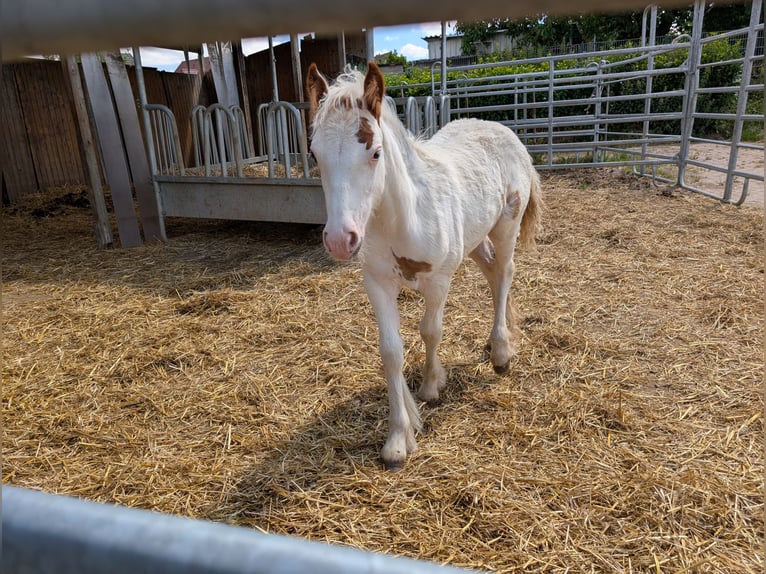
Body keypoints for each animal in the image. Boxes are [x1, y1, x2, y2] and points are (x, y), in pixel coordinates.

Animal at [306, 62, 542, 470]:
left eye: (375, 153)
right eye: (315, 155)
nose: (339, 239)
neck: (403, 219)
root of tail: (501, 129)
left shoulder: (439, 280)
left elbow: (431, 331)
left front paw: (432, 386)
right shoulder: (377, 282)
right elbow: (390, 351)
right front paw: (398, 439)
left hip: (506, 226)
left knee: (505, 273)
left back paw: (500, 352)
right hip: (474, 238)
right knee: (492, 273)